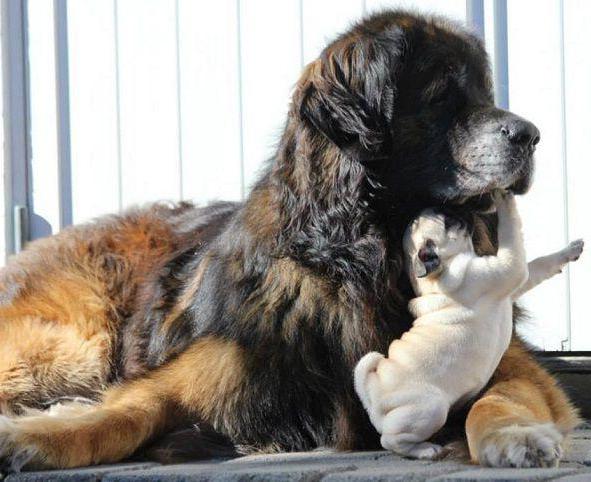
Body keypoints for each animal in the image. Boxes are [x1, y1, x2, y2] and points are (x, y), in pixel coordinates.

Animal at [354, 192, 584, 460]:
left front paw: (571, 250)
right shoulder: (507, 268)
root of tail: (373, 391)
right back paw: (426, 450)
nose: (460, 206)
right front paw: (504, 197)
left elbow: (540, 264)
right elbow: (512, 232)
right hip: (431, 409)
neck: (440, 274)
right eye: (448, 220)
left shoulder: (514, 284)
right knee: (390, 440)